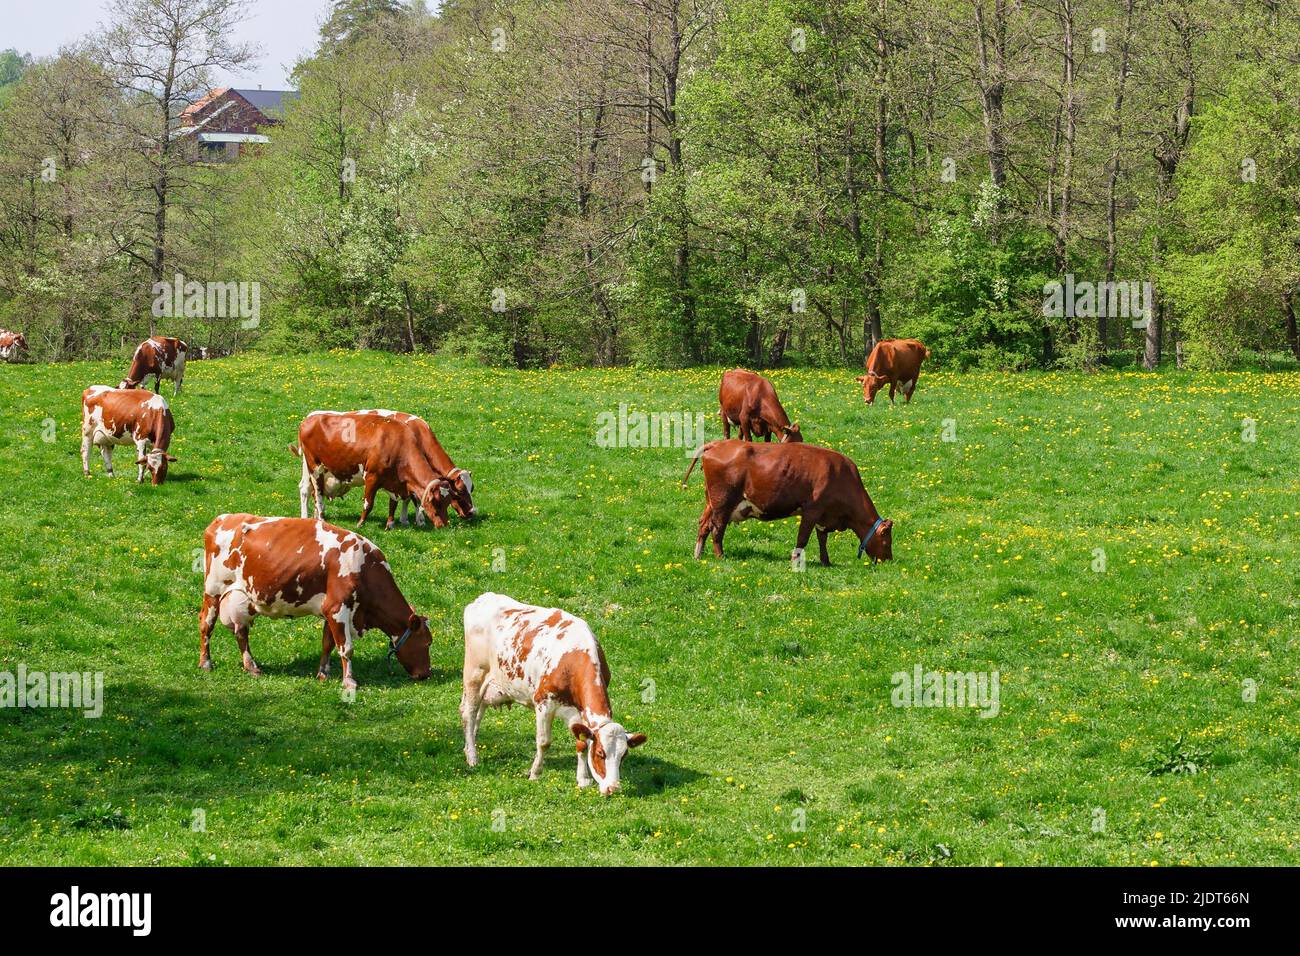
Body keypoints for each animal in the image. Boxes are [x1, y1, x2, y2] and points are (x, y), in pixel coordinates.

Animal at [199, 514, 433, 689]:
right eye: (427, 643)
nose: (426, 674)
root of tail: (222, 519)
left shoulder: (330, 610)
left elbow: (327, 643)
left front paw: (323, 673)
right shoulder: (338, 607)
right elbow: (346, 648)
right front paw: (349, 682)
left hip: (242, 598)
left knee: (241, 632)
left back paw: (252, 666)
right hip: (213, 590)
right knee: (206, 624)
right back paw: (206, 663)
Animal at [295, 410, 457, 530]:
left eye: (448, 501)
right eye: (436, 502)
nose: (444, 525)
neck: (398, 444)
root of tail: (308, 419)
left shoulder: (395, 482)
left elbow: (393, 503)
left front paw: (390, 524)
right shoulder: (372, 476)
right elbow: (369, 503)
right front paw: (360, 523)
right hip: (315, 468)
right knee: (317, 495)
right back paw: (321, 518)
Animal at [461, 592, 647, 796]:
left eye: (624, 755)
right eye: (600, 753)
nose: (614, 788)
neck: (574, 659)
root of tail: (483, 598)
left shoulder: (578, 711)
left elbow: (581, 744)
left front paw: (583, 779)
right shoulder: (543, 702)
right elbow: (544, 742)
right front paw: (535, 773)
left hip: (489, 686)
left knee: (477, 716)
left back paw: (469, 747)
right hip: (474, 675)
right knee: (468, 714)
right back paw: (473, 758)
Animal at [682, 439, 893, 566]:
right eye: (886, 540)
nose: (889, 560)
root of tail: (717, 443)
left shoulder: (823, 516)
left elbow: (822, 539)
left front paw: (826, 562)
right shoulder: (812, 510)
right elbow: (803, 538)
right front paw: (795, 561)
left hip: (711, 502)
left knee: (703, 525)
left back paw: (698, 554)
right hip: (723, 502)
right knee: (717, 528)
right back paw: (720, 556)